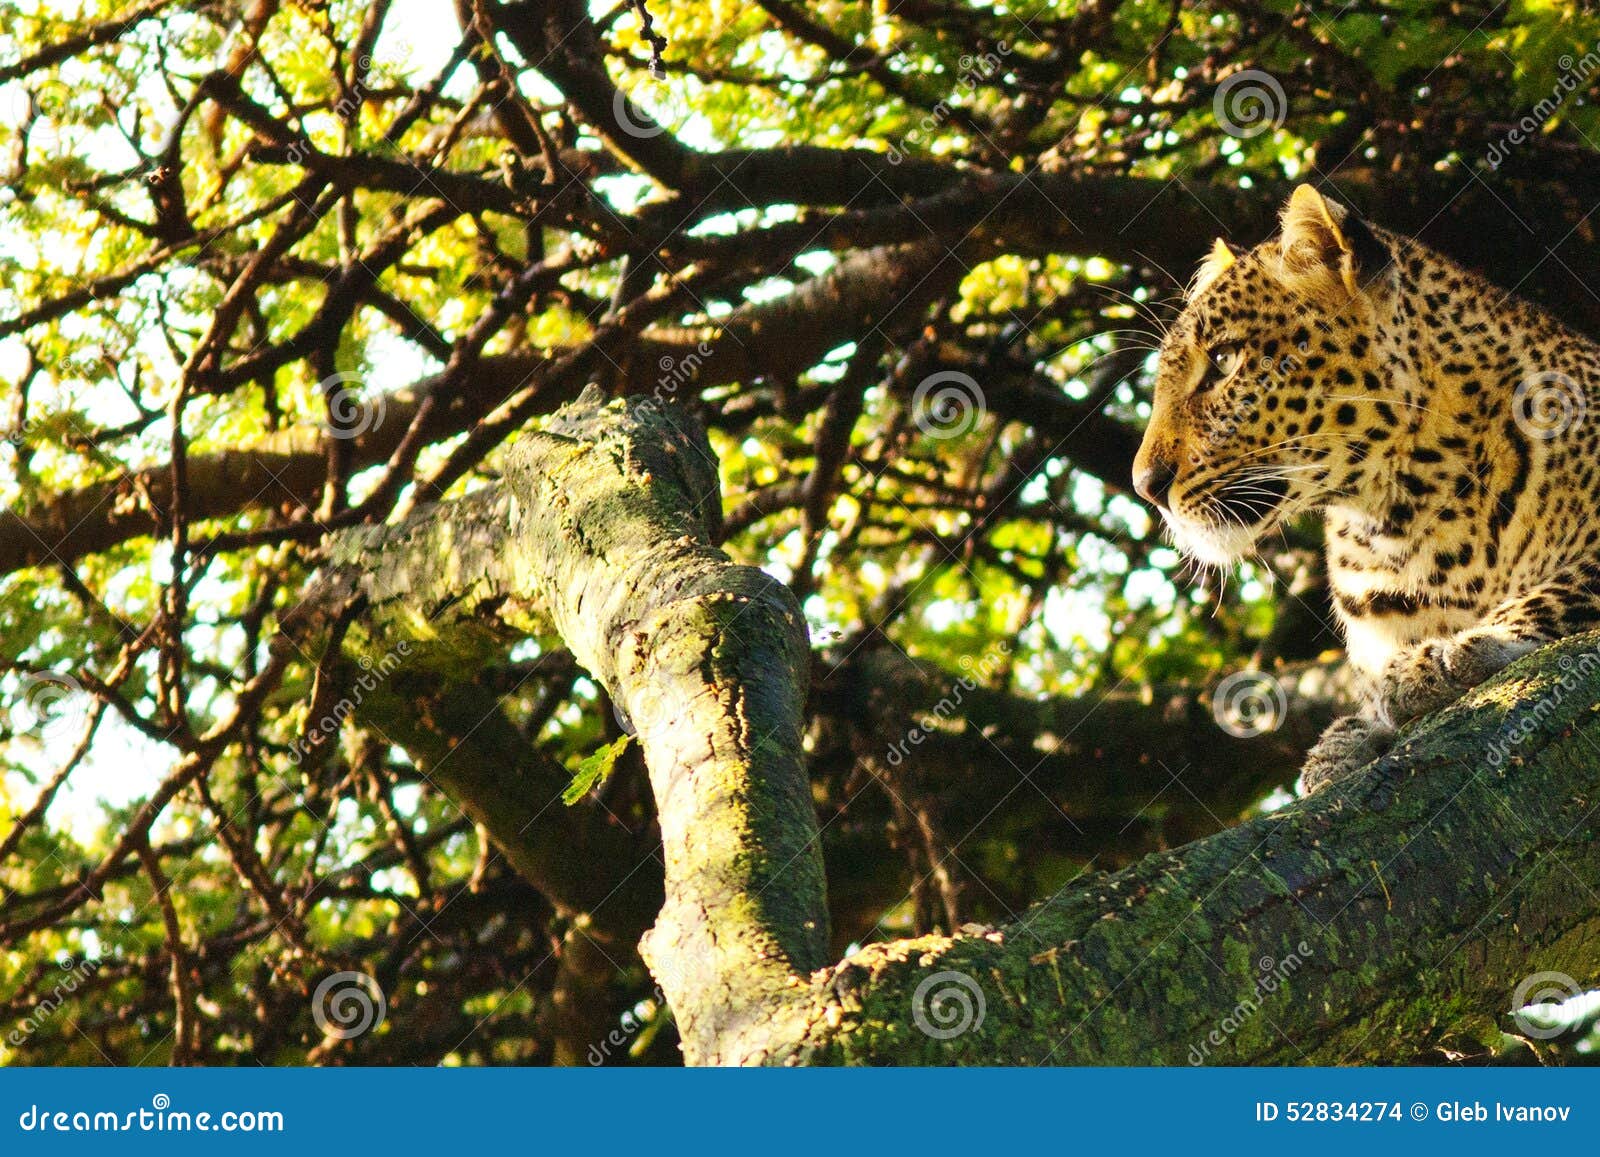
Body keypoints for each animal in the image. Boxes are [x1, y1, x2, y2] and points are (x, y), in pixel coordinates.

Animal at [1133, 183, 1600, 792]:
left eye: (1225, 360)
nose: (1146, 486)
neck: (1408, 513)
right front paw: (1344, 742)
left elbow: (1563, 586)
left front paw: (1449, 656)